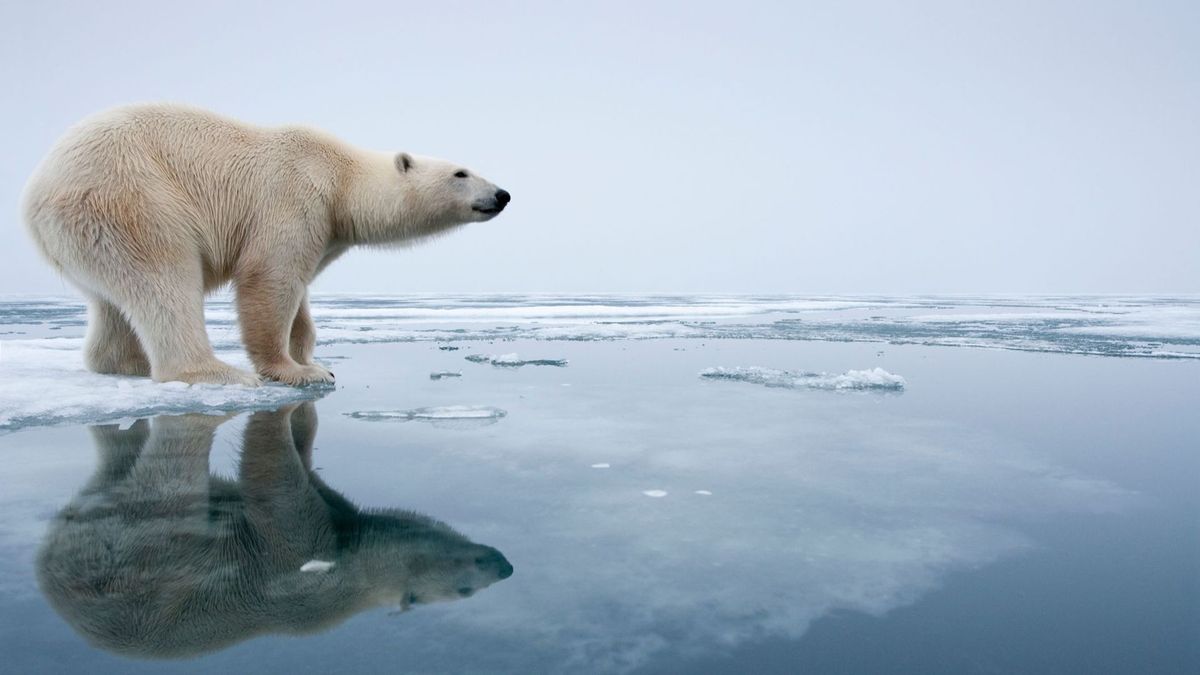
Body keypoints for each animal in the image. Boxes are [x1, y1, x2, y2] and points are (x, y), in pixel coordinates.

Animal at [21, 104, 509, 386]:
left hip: (88, 232)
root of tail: (34, 195)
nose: (502, 194)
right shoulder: (294, 197)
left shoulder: (324, 230)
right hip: (131, 199)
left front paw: (315, 359)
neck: (341, 178)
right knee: (165, 278)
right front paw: (295, 372)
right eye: (461, 172)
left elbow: (301, 296)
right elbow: (270, 280)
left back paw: (128, 364)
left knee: (112, 299)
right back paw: (216, 373)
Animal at [36, 403, 513, 658]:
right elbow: (280, 497)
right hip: (120, 554)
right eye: (465, 589)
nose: (504, 564)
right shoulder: (306, 579)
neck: (348, 576)